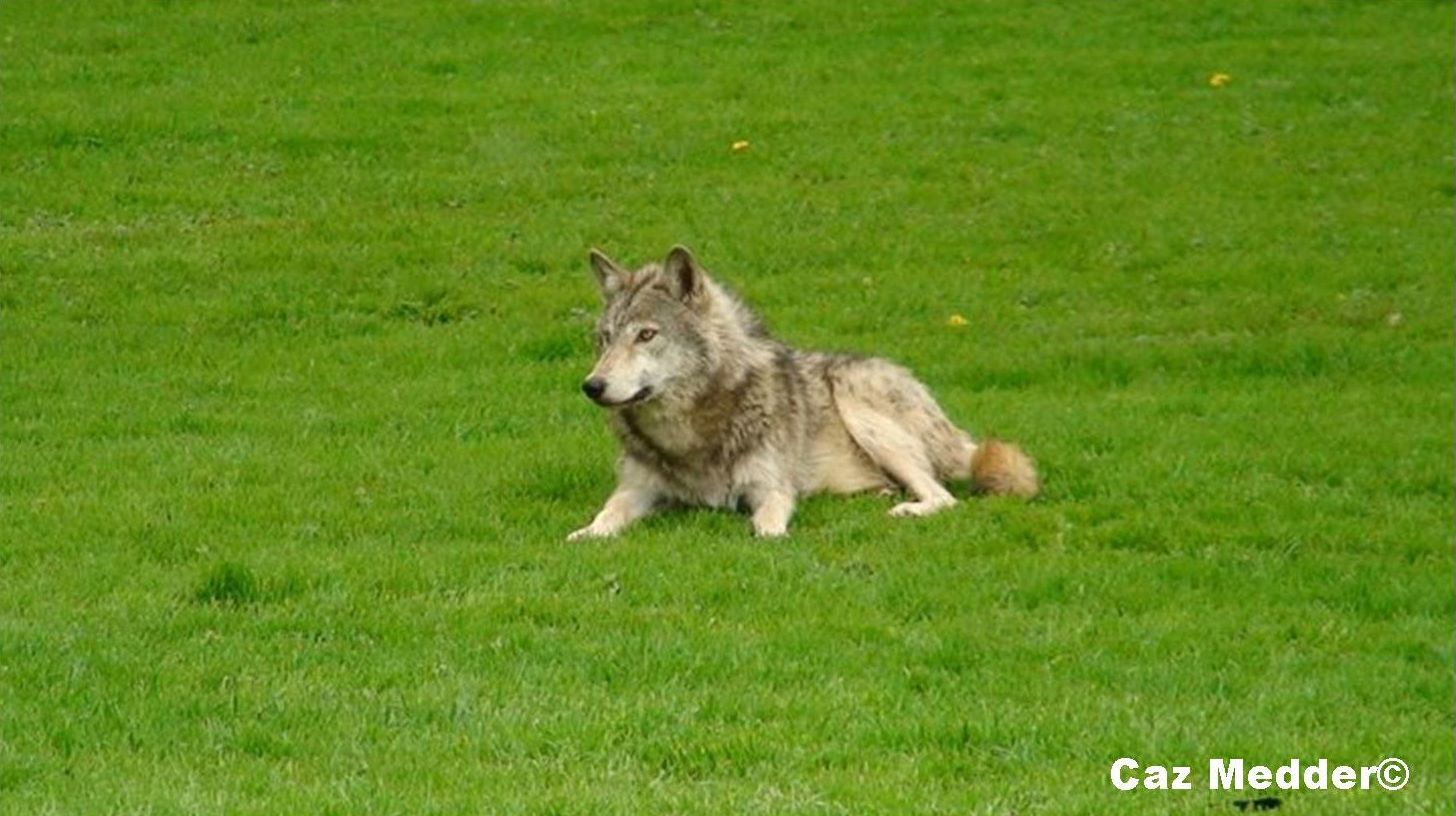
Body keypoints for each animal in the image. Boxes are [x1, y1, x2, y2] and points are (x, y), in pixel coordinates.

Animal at [568, 246, 1037, 540]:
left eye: (646, 335)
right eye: (605, 339)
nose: (592, 386)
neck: (691, 434)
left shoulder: (772, 489)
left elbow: (767, 527)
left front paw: (767, 535)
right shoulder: (636, 490)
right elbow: (605, 517)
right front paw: (586, 533)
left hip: (858, 405)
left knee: (944, 496)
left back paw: (907, 507)